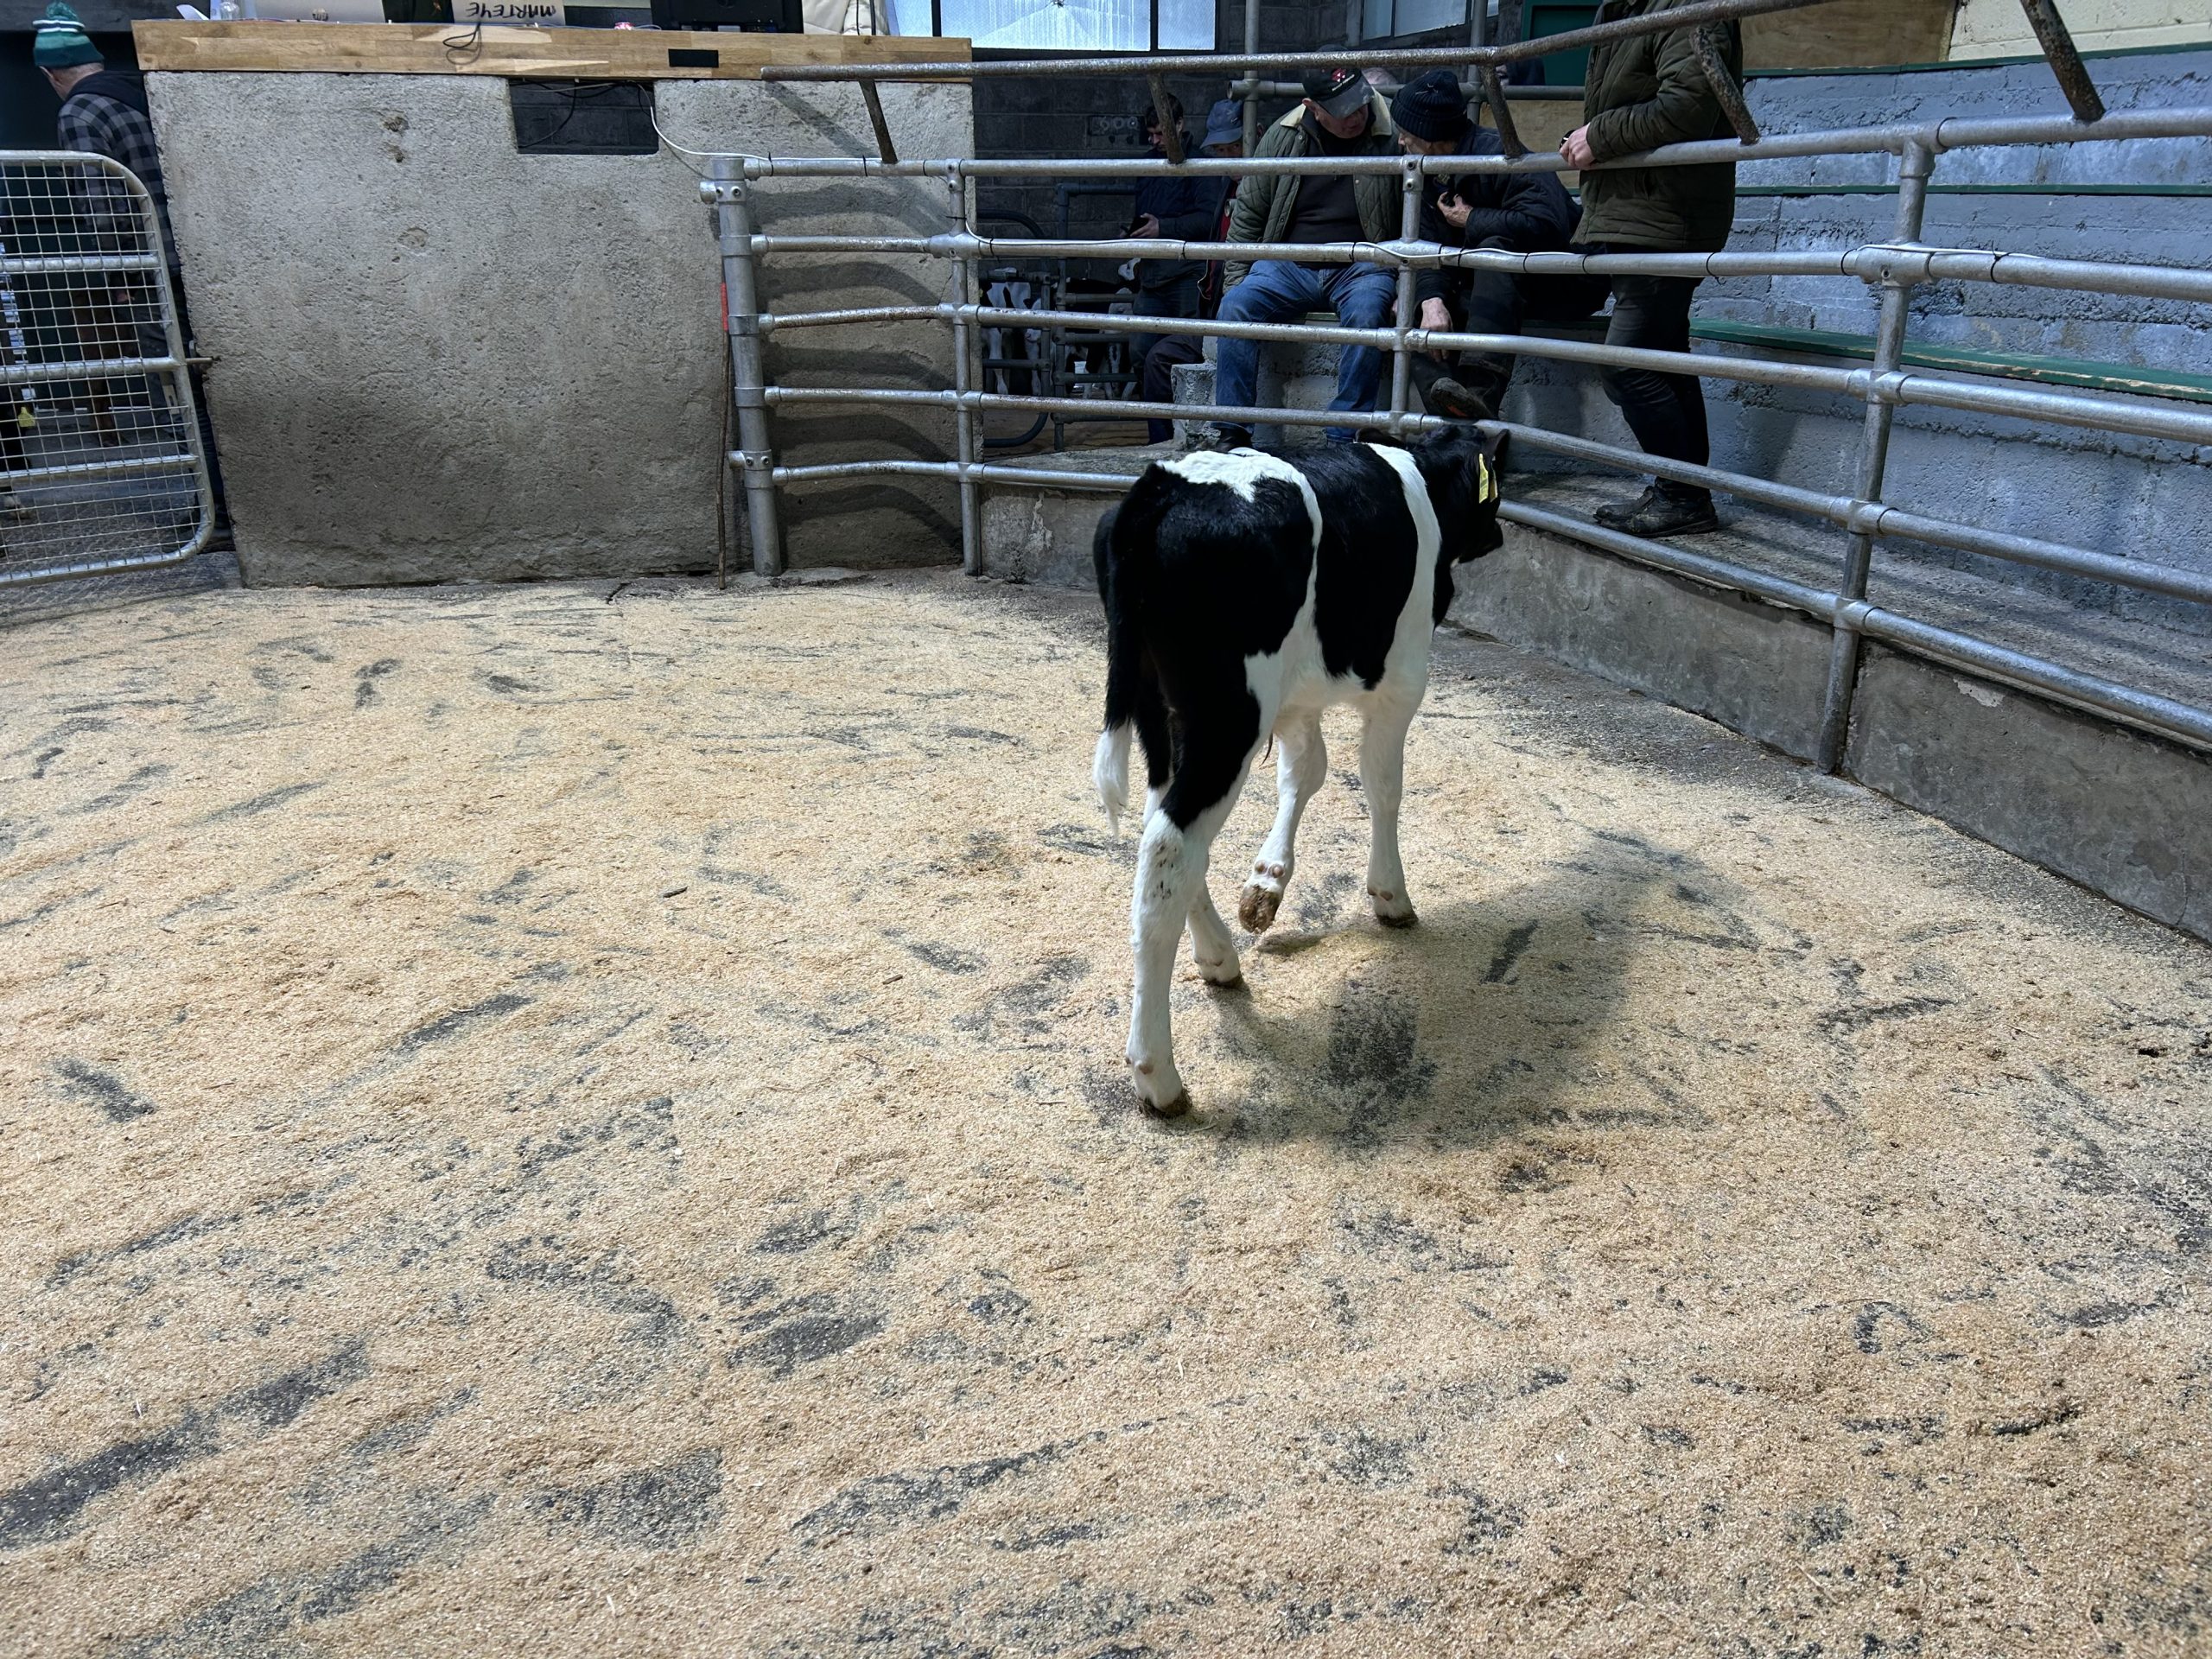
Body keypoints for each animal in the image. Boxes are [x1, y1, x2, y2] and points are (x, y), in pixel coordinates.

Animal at [1090, 426, 1506, 1118]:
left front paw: (1267, 883)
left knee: (1164, 828)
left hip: (1159, 707)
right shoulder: (1403, 677)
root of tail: (1160, 487)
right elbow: (1382, 784)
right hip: (1230, 716)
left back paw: (1219, 956)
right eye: (1496, 491)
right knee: (1170, 846)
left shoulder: (1298, 698)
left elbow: (1305, 771)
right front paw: (1390, 895)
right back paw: (1158, 1076)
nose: (1498, 537)